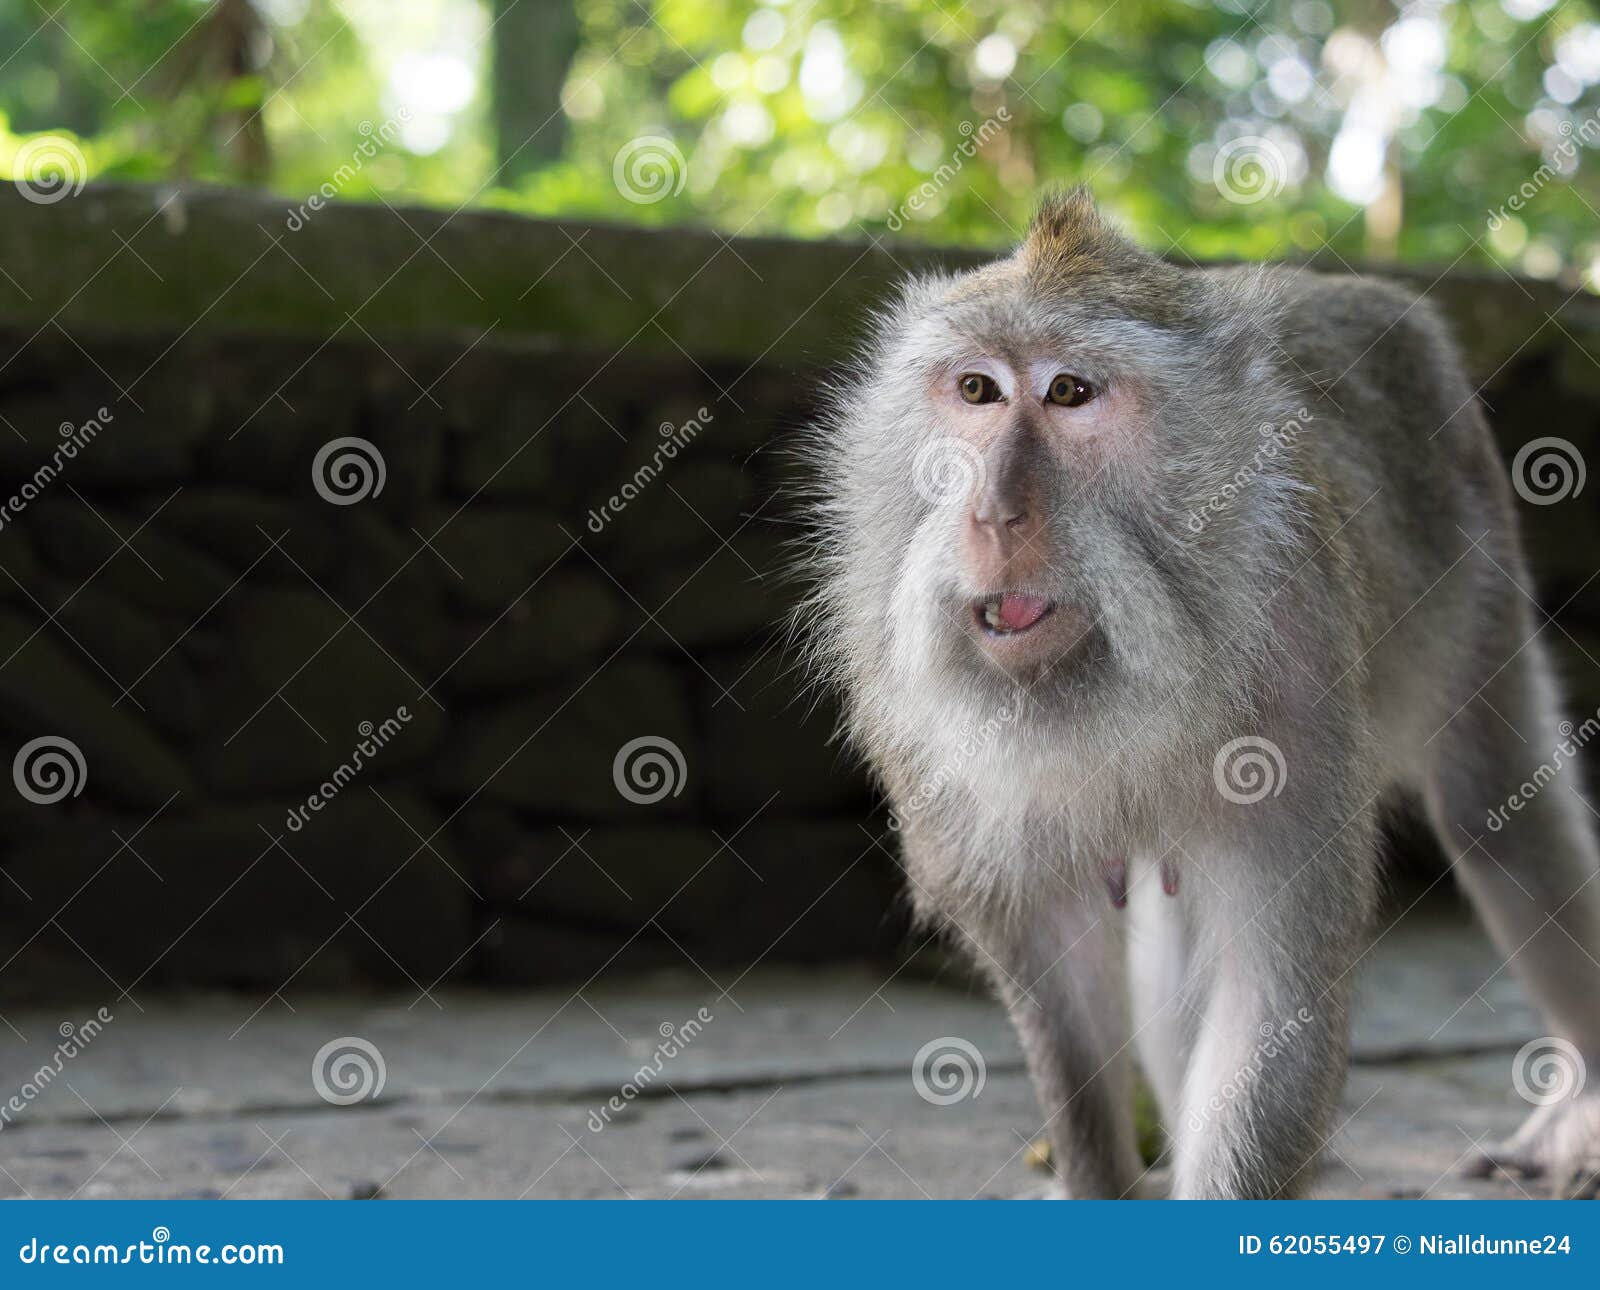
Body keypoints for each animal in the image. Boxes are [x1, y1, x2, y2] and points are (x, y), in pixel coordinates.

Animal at [795, 188, 1600, 1198]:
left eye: (1070, 392)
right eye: (975, 391)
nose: (991, 513)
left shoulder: (1295, 648)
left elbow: (1272, 986)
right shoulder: (922, 722)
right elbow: (1058, 968)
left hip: (1477, 552)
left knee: (1496, 810)